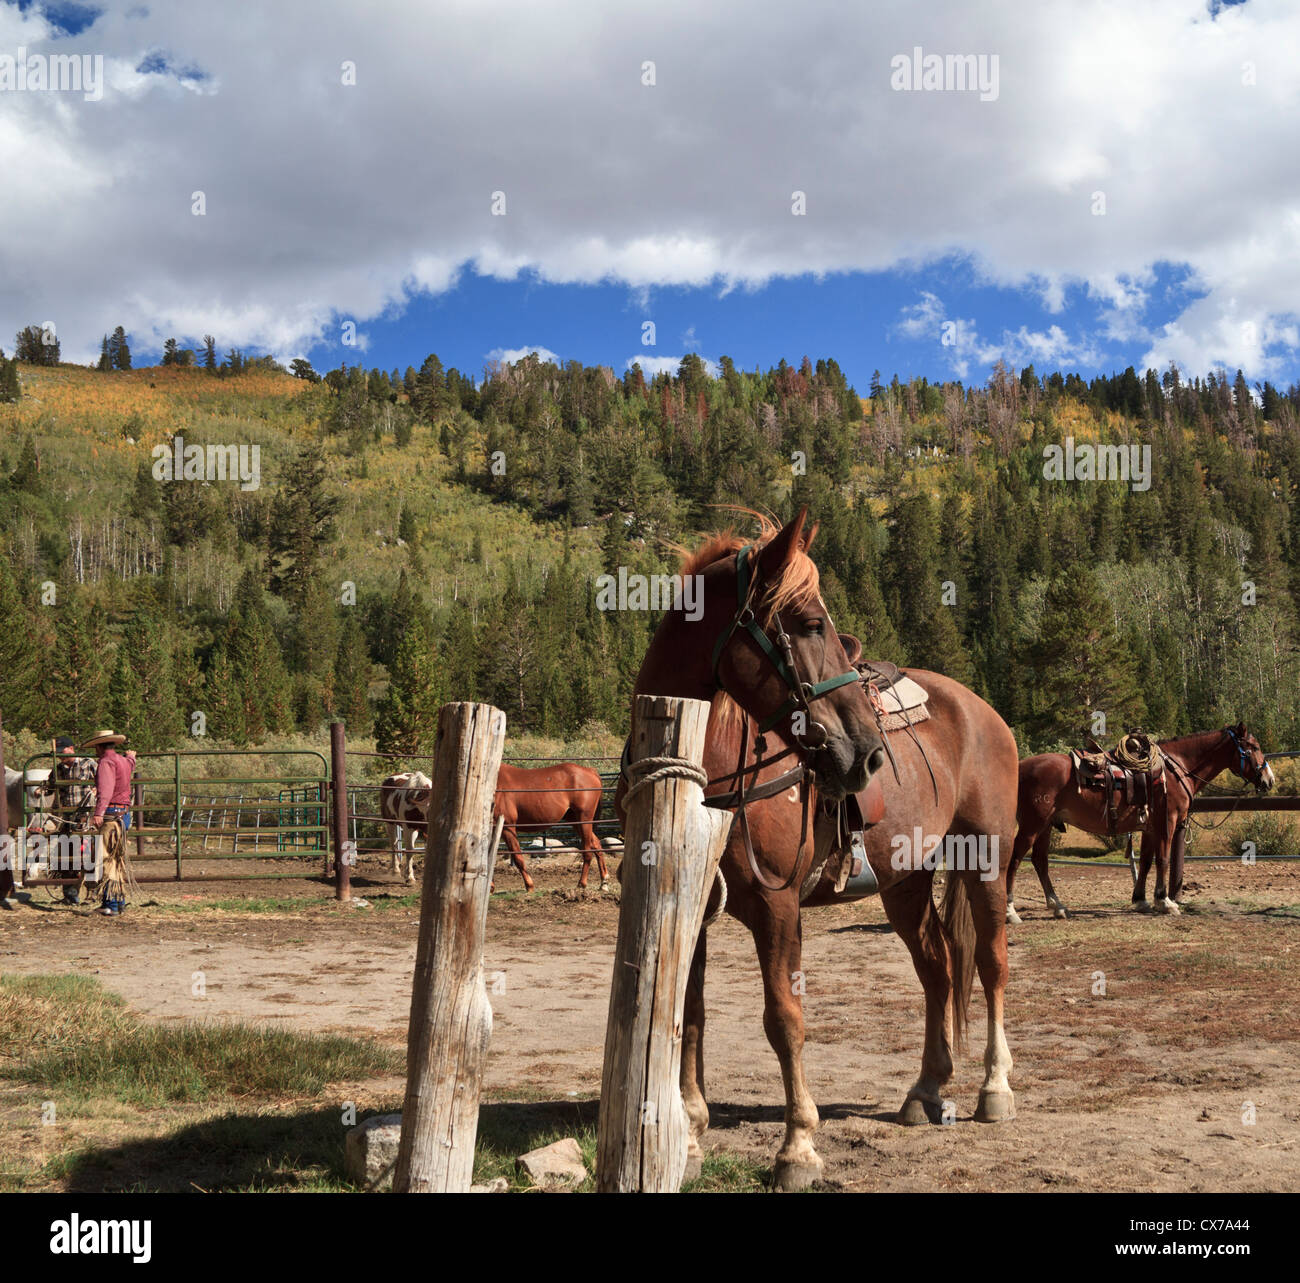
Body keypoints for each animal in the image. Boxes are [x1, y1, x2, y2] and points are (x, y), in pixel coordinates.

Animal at [494, 762, 609, 892]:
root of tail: (590, 771)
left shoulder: (507, 827)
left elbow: (518, 857)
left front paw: (529, 886)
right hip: (575, 821)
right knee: (597, 845)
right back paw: (604, 882)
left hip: (584, 820)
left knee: (588, 852)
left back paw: (582, 883)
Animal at [617, 509, 1020, 1190]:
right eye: (808, 624)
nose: (868, 753)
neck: (709, 774)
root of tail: (982, 712)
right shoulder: (692, 907)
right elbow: (689, 1013)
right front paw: (691, 1135)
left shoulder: (778, 909)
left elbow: (785, 1020)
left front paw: (798, 1146)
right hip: (905, 882)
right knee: (937, 967)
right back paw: (927, 1090)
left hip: (985, 858)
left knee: (990, 965)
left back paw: (995, 1088)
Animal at [1008, 724, 1274, 921]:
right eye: (1254, 747)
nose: (1268, 780)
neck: (1177, 769)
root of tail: (1019, 766)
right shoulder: (1167, 821)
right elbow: (1163, 860)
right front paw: (1165, 901)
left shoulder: (1150, 827)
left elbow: (1146, 861)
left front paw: (1141, 900)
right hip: (1033, 825)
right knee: (1016, 859)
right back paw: (1011, 911)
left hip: (1045, 826)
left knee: (1040, 861)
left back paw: (1058, 906)